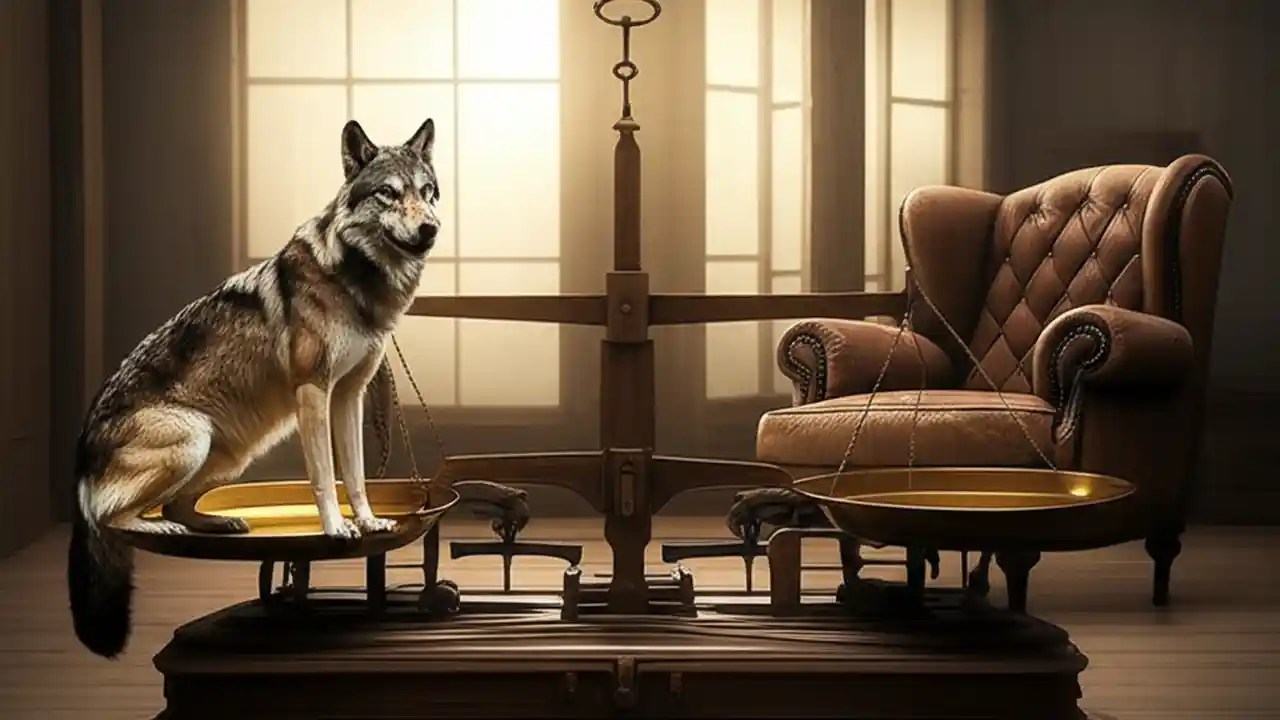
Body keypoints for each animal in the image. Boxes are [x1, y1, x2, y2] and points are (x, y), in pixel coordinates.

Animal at [67, 117, 439, 658]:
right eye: (388, 193)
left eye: (428, 193)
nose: (431, 228)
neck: (355, 281)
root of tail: (81, 453)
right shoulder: (314, 392)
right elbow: (325, 477)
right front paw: (336, 528)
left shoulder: (349, 397)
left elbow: (355, 475)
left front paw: (368, 522)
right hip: (193, 438)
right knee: (110, 514)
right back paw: (160, 525)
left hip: (230, 454)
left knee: (174, 502)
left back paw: (216, 523)